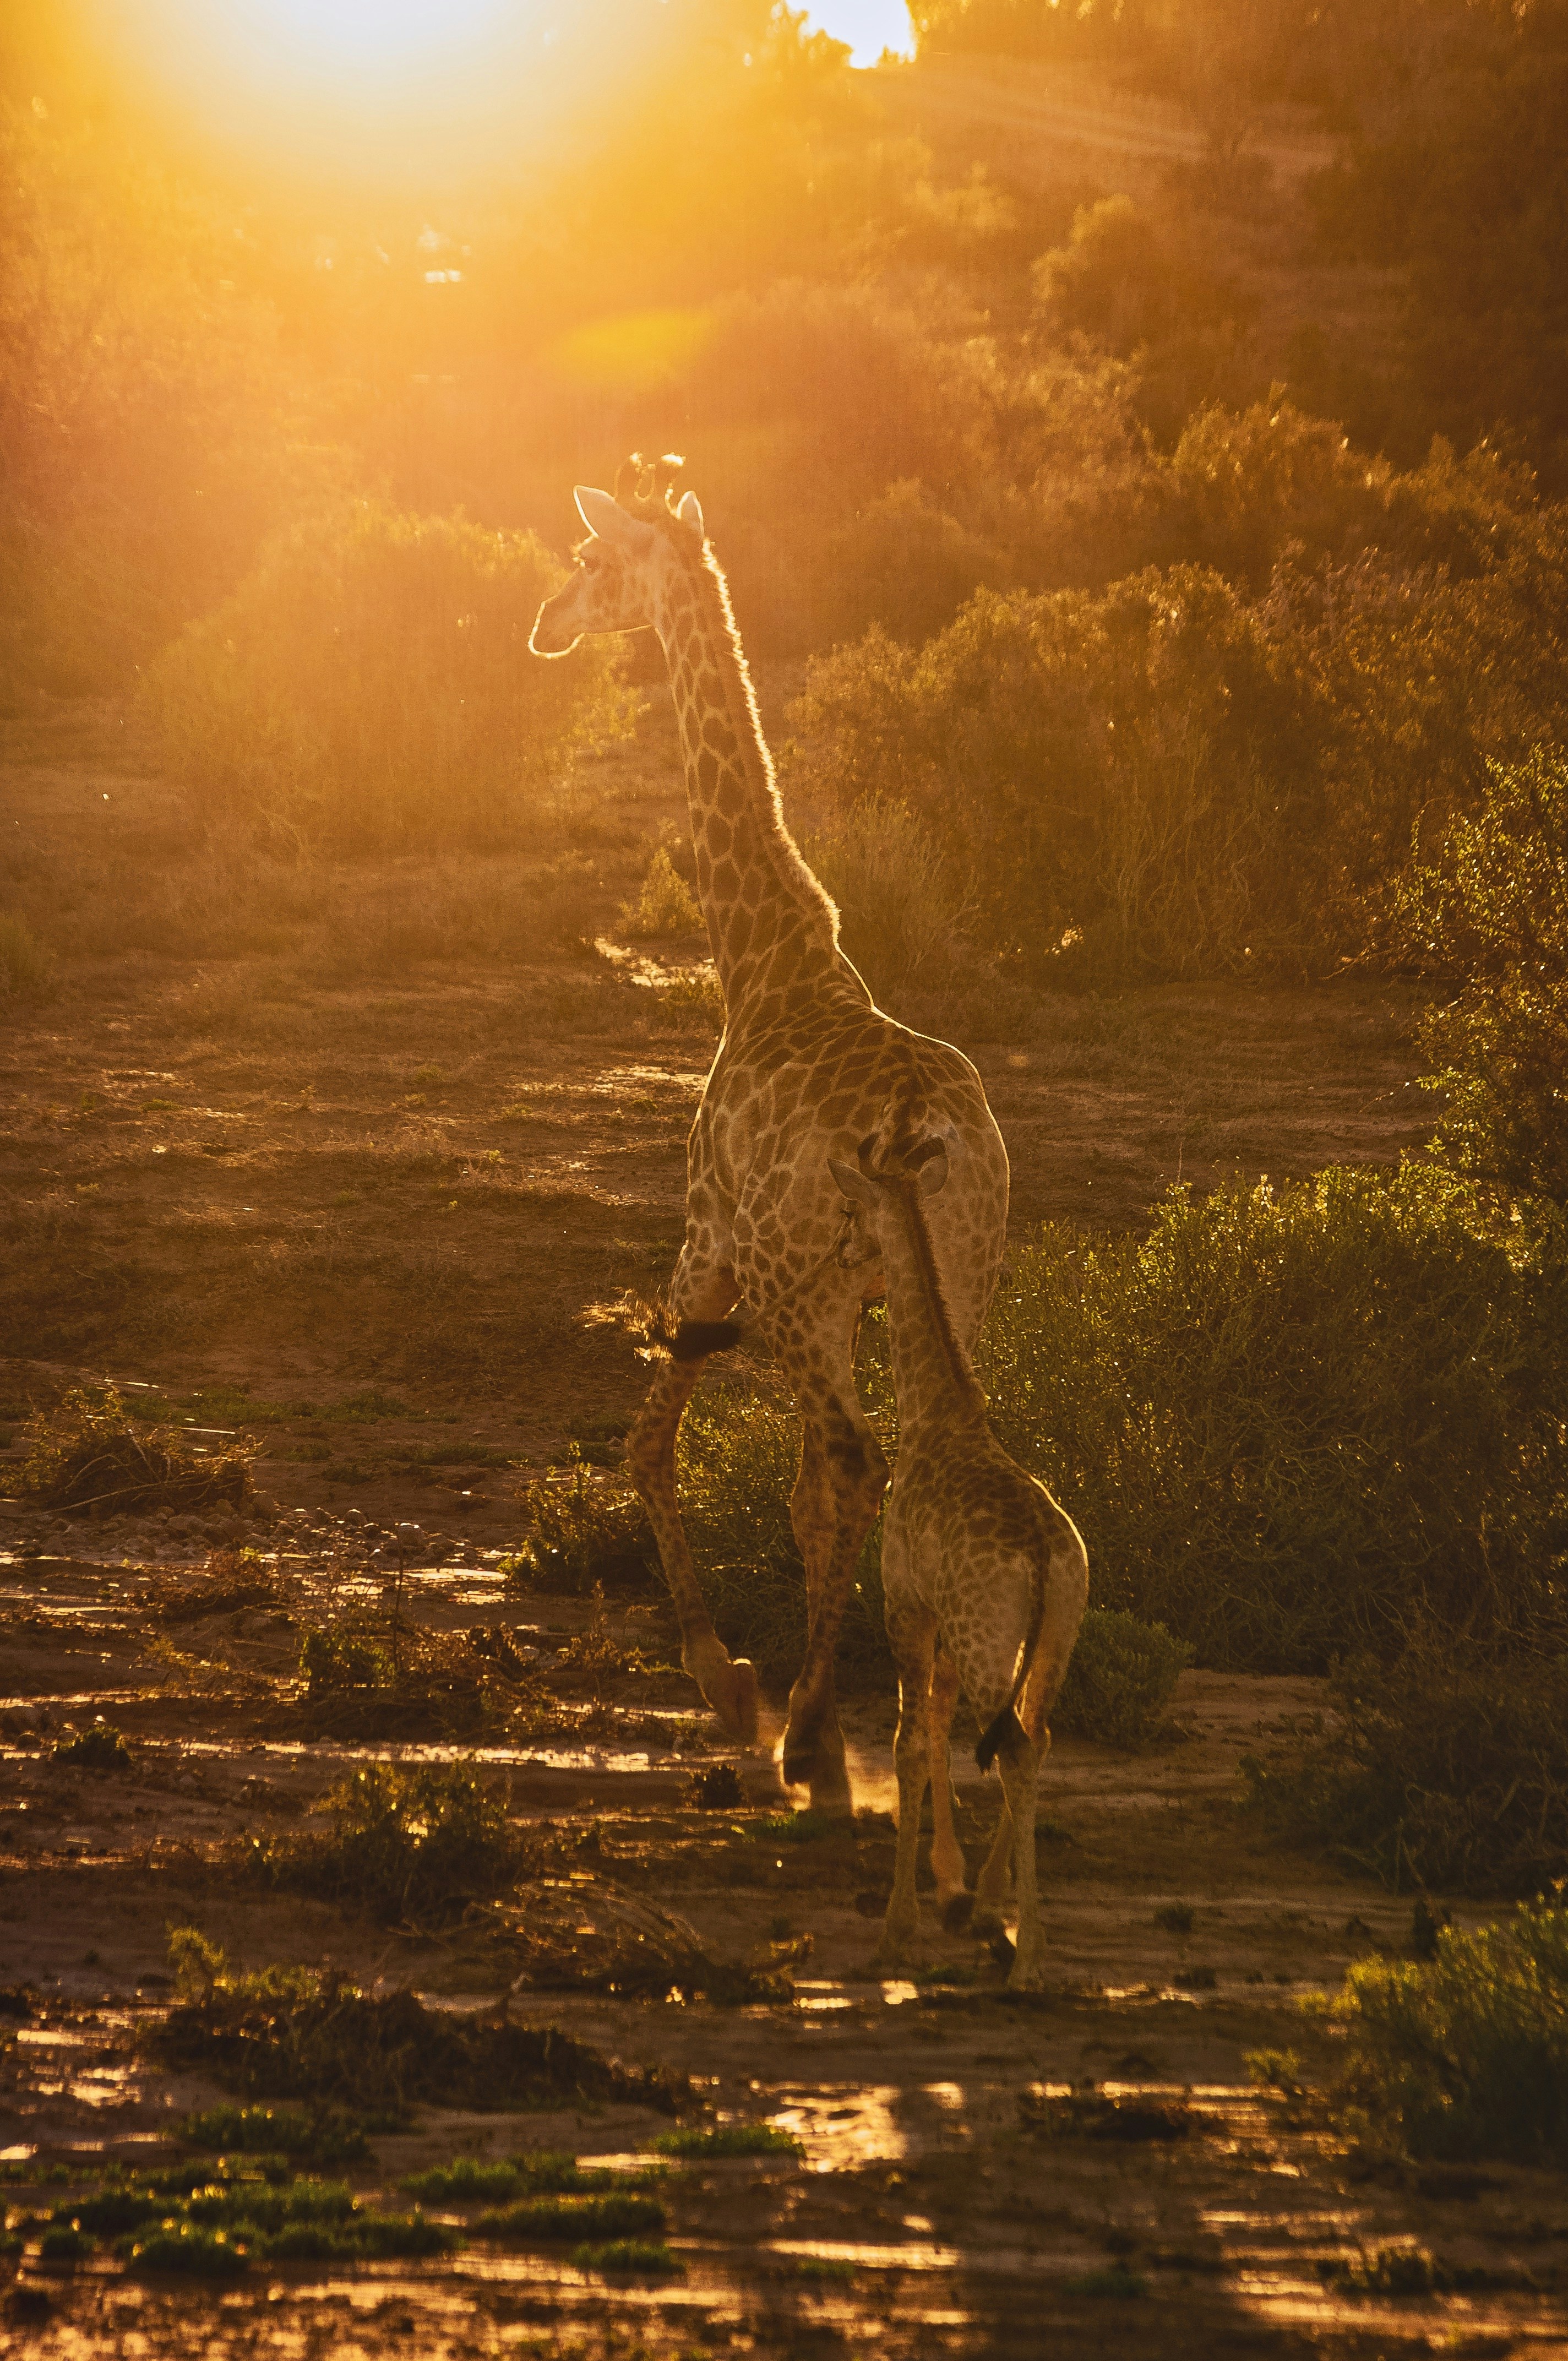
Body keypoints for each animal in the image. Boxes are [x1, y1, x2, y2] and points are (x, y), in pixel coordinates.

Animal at [529, 454, 1009, 1813]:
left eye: (589, 558)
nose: (545, 624)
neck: (762, 958)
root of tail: (914, 1126)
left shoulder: (712, 1246)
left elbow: (648, 1442)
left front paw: (729, 1680)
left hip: (801, 1289)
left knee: (848, 1462)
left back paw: (812, 1734)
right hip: (958, 1275)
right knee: (919, 1458)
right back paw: (910, 1725)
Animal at [827, 1134, 1088, 1990]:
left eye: (852, 1211)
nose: (843, 1253)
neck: (932, 1412)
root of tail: (1042, 1559)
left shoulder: (904, 1604)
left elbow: (909, 1742)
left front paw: (898, 1930)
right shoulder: (935, 1616)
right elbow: (936, 1725)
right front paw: (957, 1888)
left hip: (986, 1638)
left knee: (1012, 1746)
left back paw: (1027, 1955)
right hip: (1056, 1638)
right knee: (1036, 1738)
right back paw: (1000, 1909)